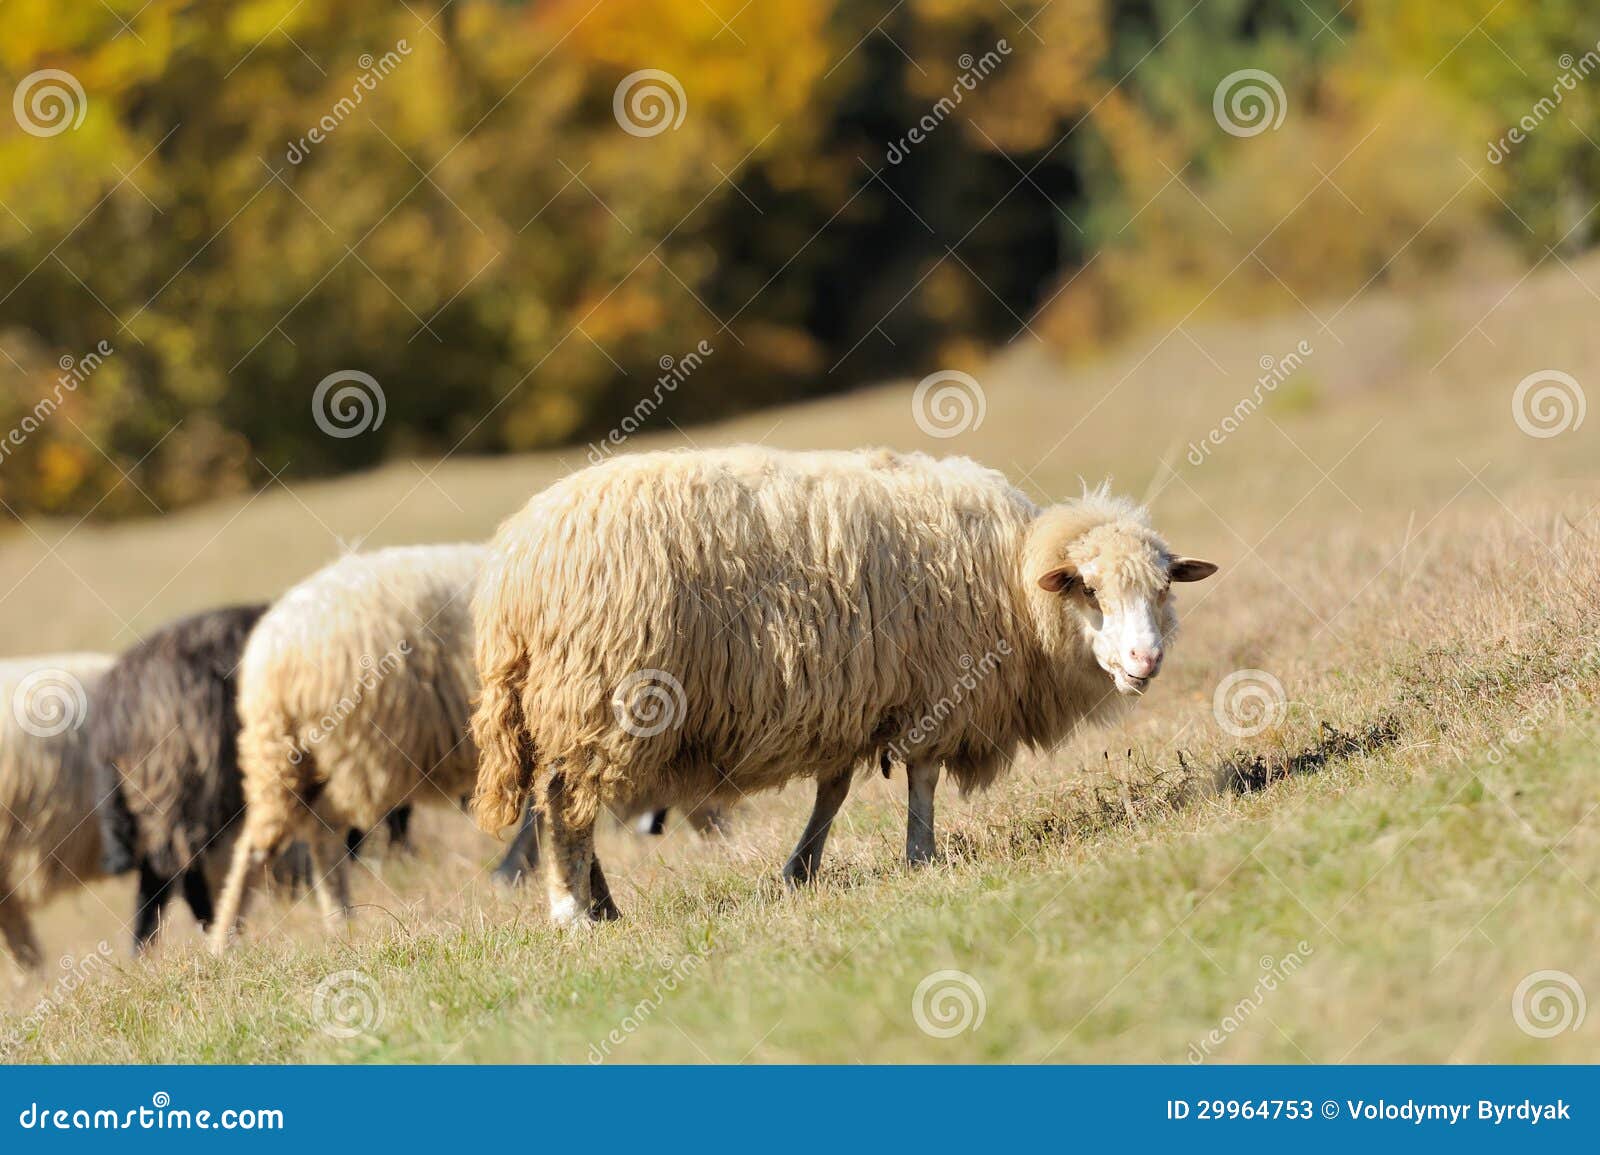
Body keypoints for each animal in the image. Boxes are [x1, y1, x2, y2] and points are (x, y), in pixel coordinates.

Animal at [469, 446, 1216, 925]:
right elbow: (920, 778)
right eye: (1089, 590)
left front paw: (800, 870)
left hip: (575, 705)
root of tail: (515, 567)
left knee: (568, 801)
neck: (1012, 578)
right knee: (564, 803)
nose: (1146, 659)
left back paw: (605, 907)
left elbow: (834, 789)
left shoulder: (856, 698)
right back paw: (573, 913)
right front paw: (921, 857)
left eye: (1163, 590)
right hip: (604, 692)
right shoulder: (936, 686)